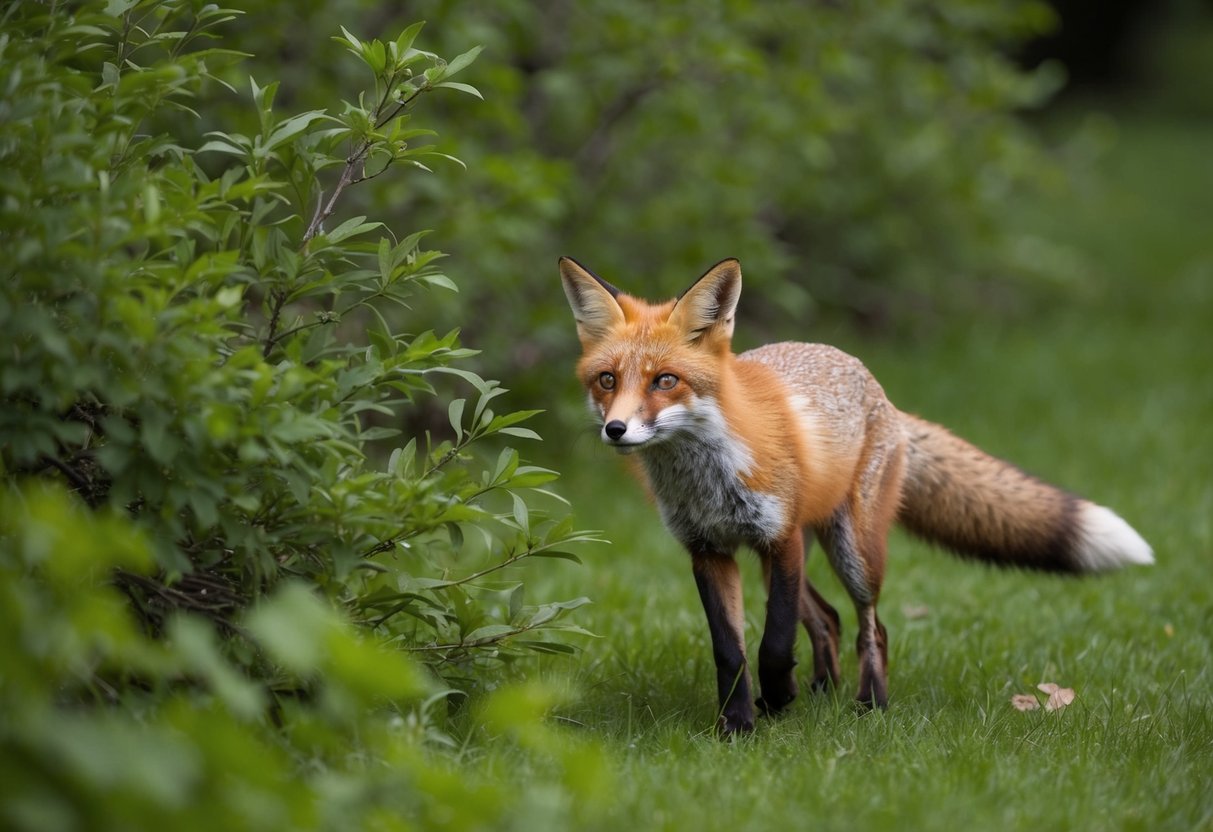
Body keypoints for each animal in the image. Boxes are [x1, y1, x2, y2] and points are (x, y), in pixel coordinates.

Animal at [558, 256, 1154, 736]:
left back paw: (869, 704)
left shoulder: (781, 538)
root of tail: (881, 391)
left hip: (852, 551)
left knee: (873, 626)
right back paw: (819, 692)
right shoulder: (708, 550)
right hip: (783, 558)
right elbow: (730, 651)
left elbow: (773, 644)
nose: (616, 430)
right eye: (607, 380)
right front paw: (738, 725)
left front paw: (775, 696)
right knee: (829, 620)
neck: (707, 476)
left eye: (665, 381)